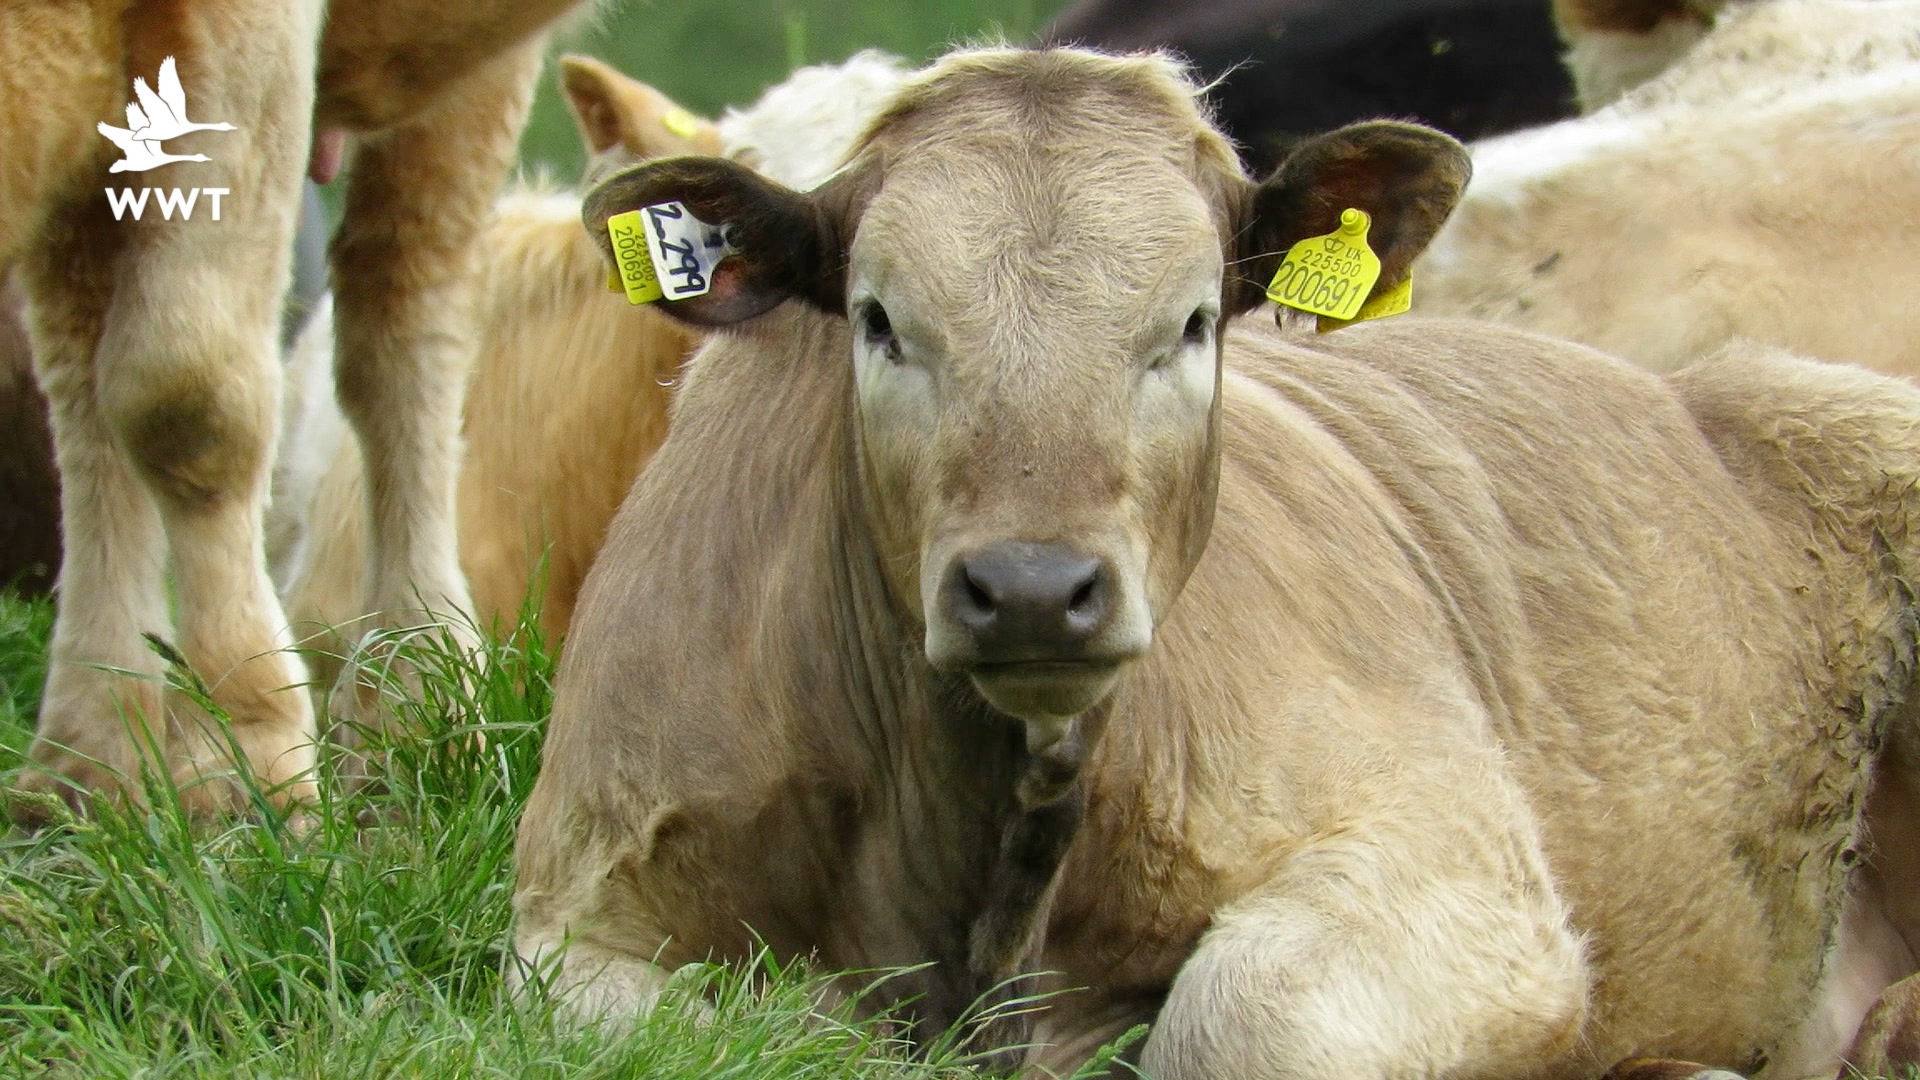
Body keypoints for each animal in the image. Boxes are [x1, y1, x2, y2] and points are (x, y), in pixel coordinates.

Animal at [3, 0, 588, 821]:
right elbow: (81, 396)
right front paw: (86, 760)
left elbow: (188, 396)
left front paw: (240, 743)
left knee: (411, 318)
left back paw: (415, 699)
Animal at [510, 46, 1920, 1079]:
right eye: (877, 320)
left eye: (1192, 322)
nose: (1034, 589)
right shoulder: (572, 917)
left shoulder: (1454, 869)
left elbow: (1231, 1020)